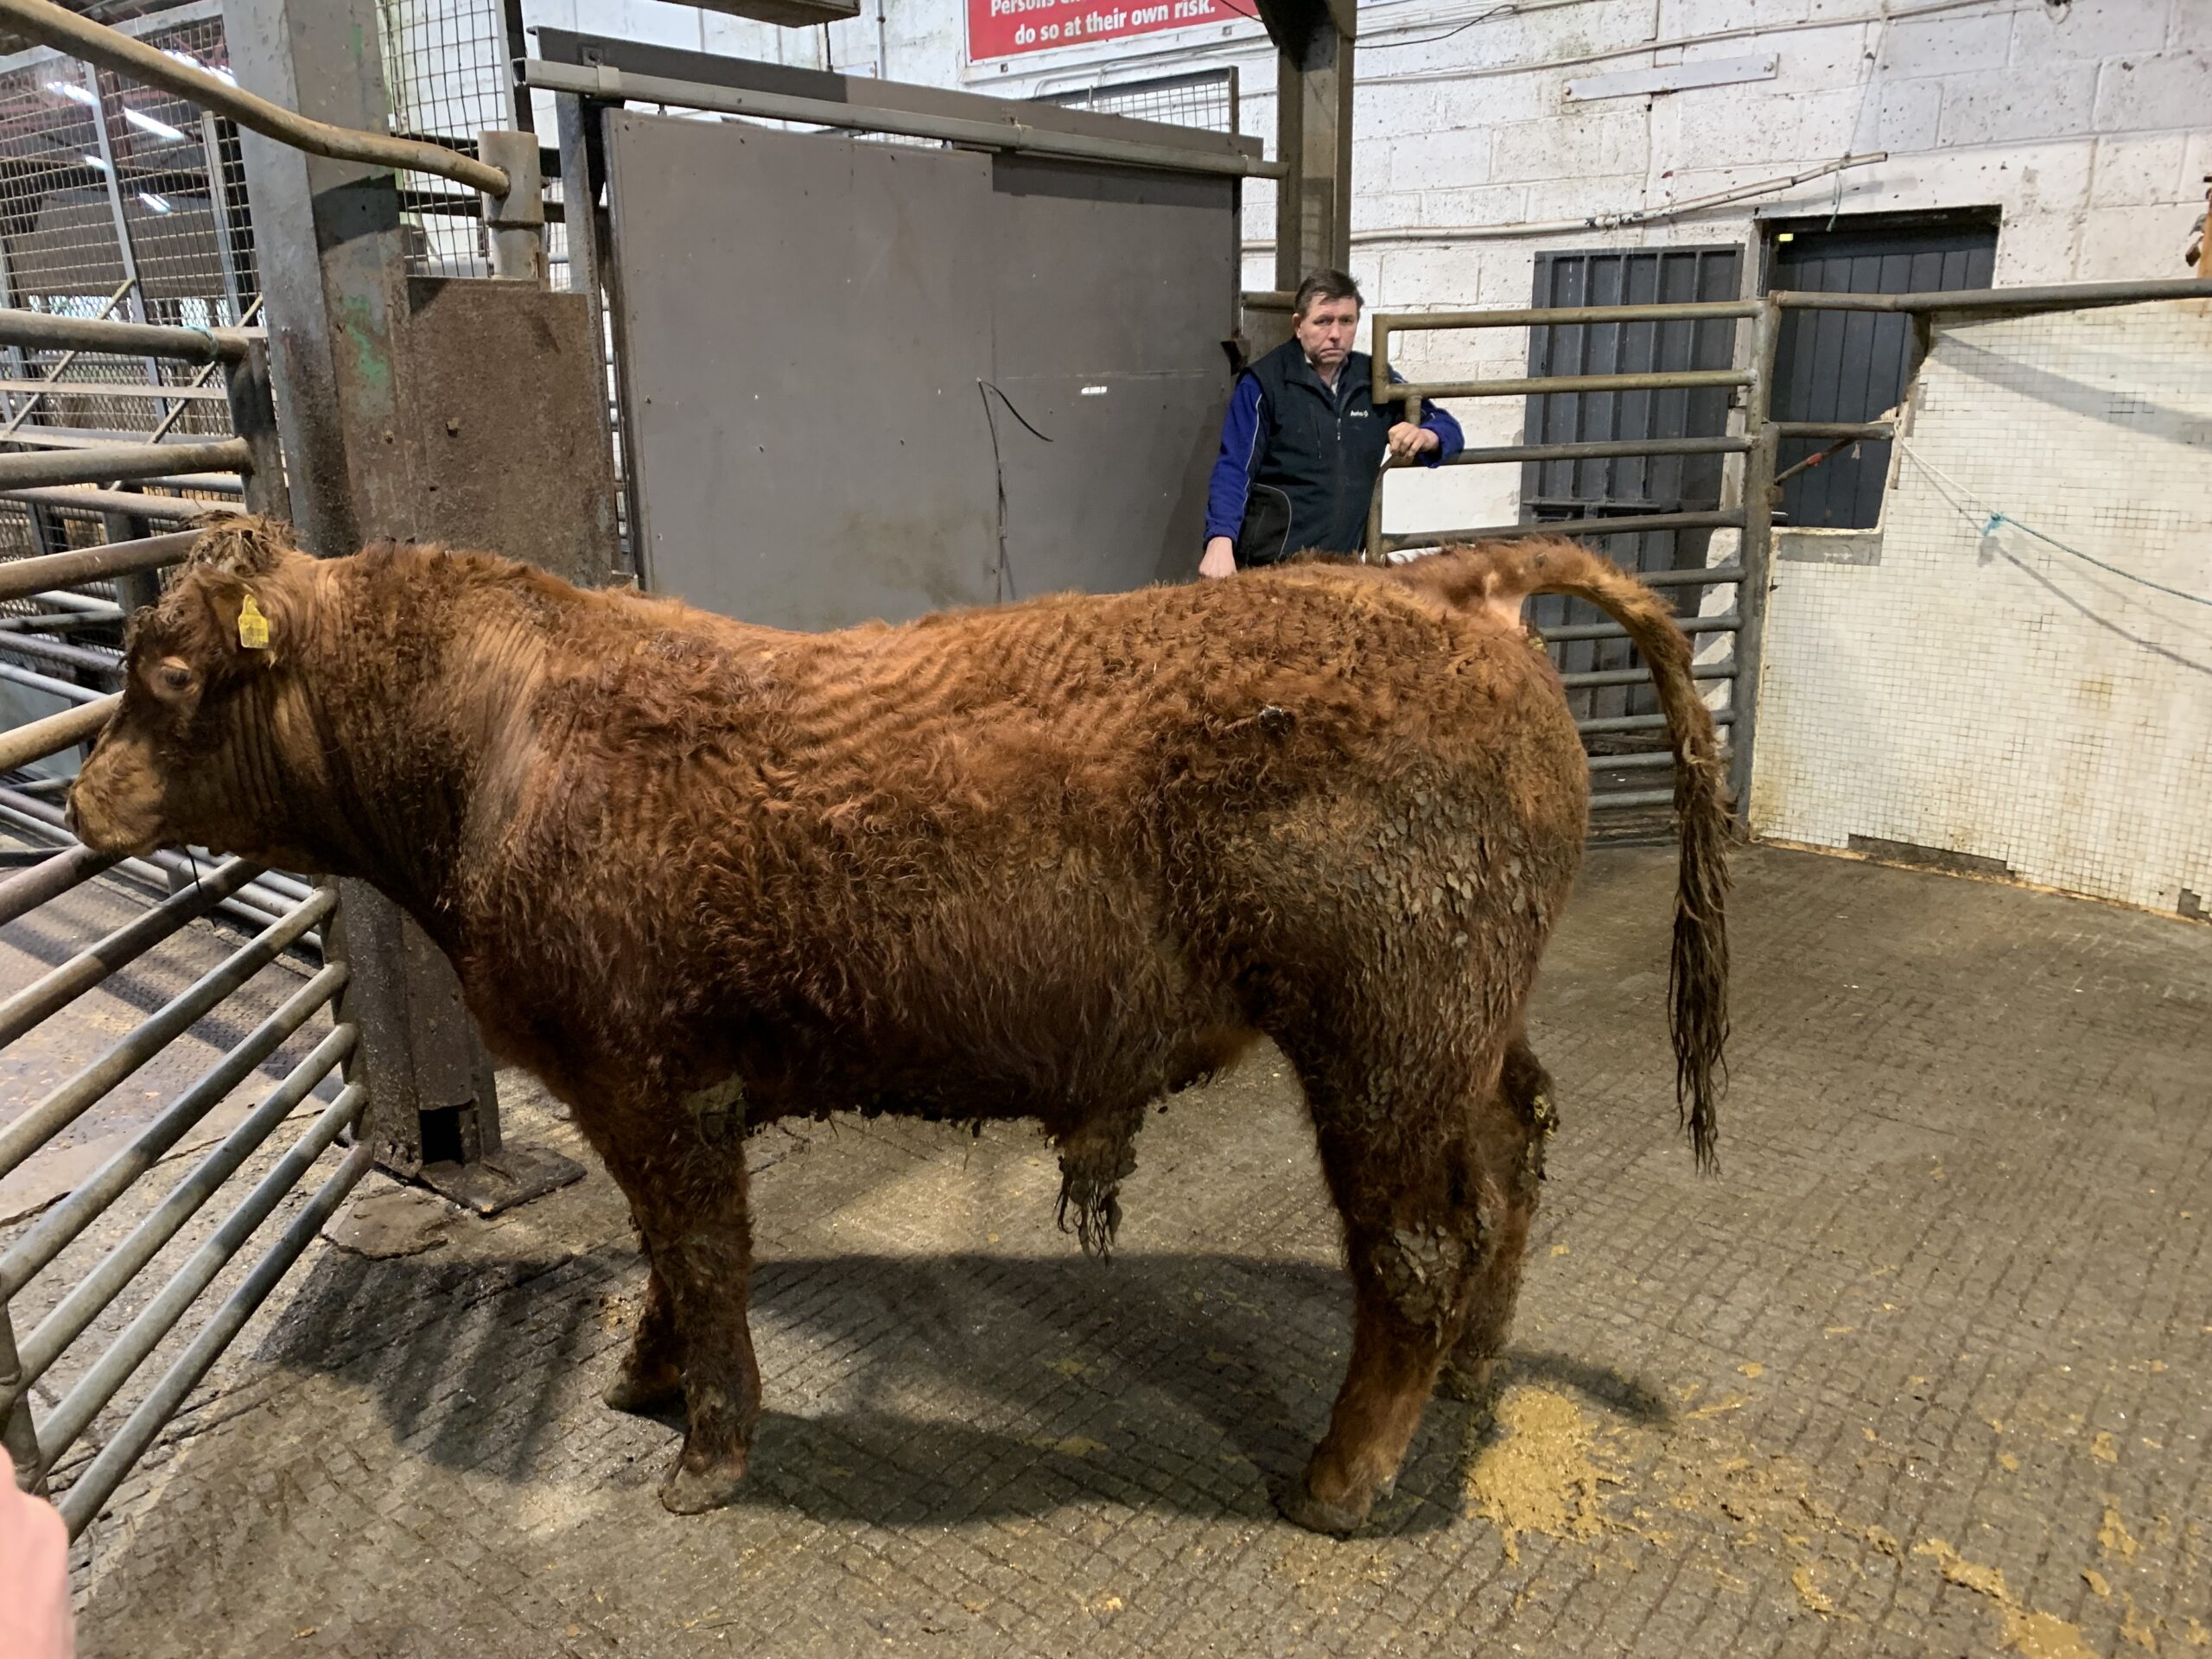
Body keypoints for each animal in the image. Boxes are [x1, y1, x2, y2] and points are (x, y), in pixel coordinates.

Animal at [66, 517, 1728, 1536]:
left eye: (168, 671)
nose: (81, 801)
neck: (498, 744)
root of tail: (1447, 584)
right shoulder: (645, 1092)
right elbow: (667, 1253)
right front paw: (644, 1377)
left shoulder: (652, 1078)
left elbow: (703, 1251)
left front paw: (706, 1455)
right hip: (1463, 1029)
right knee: (1512, 1157)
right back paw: (1475, 1373)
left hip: (1382, 1042)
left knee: (1416, 1247)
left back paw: (1338, 1477)